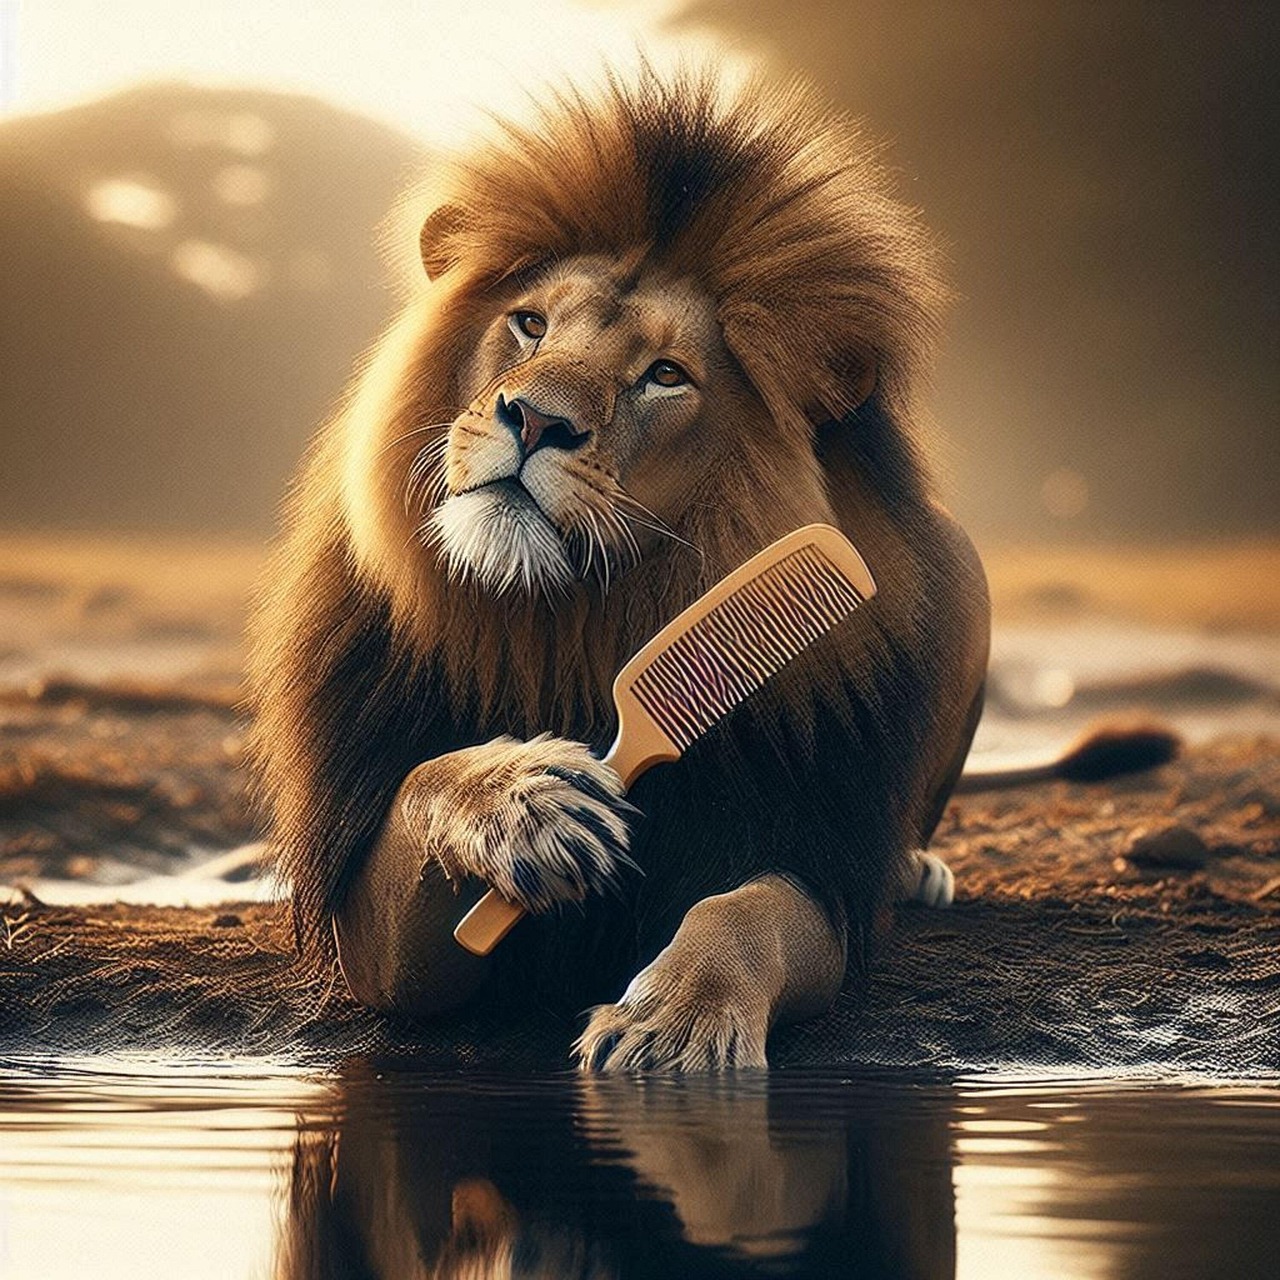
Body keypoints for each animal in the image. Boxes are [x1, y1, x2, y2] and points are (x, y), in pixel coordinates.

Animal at [247, 64, 991, 1070]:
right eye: (529, 324)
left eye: (666, 375)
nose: (534, 418)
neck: (570, 618)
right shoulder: (374, 935)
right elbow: (418, 792)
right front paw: (524, 798)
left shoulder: (806, 848)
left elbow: (744, 913)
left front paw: (672, 1023)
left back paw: (916, 869)